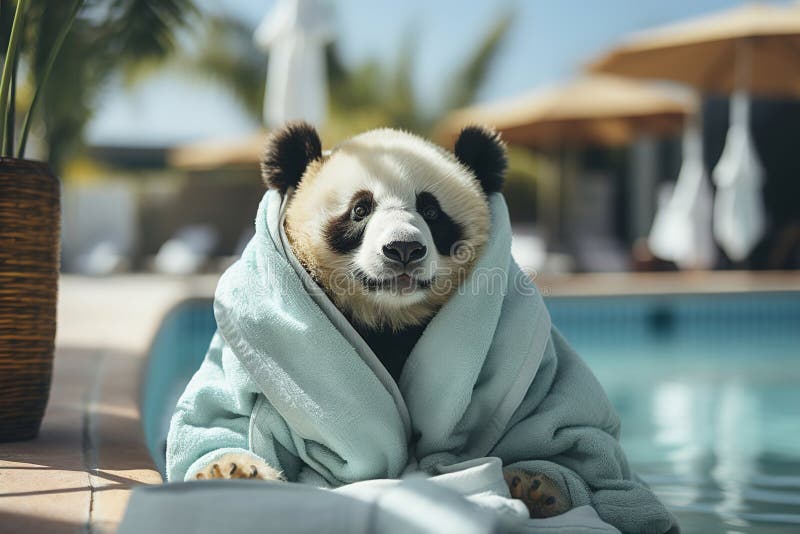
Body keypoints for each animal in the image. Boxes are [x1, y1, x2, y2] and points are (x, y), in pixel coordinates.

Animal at [191, 123, 569, 518]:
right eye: (360, 209)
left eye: (431, 210)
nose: (403, 248)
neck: (388, 316)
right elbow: (223, 413)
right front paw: (232, 471)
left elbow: (545, 414)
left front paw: (537, 487)